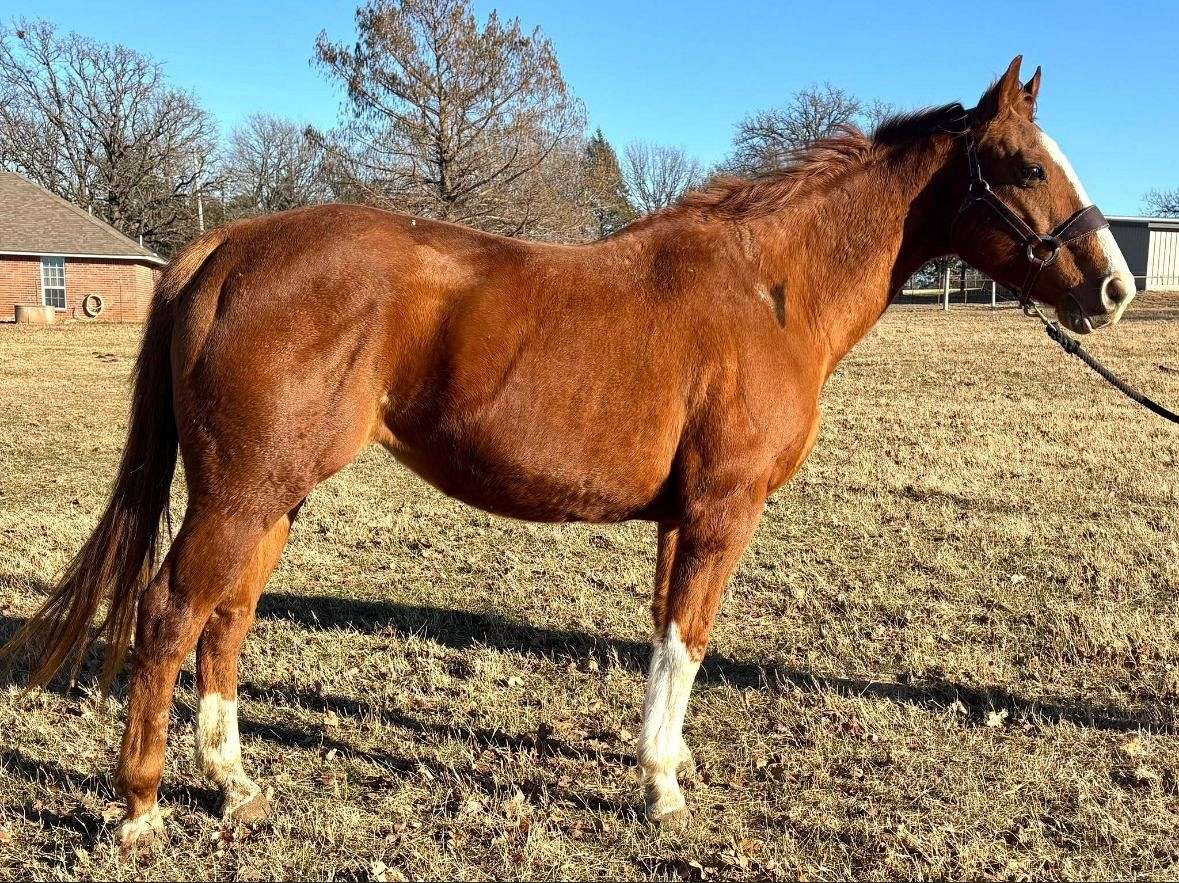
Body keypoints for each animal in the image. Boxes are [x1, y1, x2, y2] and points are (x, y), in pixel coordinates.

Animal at [1, 56, 1136, 845]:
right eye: (1024, 165)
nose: (1115, 286)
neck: (769, 289)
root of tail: (225, 247)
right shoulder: (721, 512)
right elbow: (688, 639)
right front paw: (664, 788)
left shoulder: (685, 519)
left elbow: (672, 637)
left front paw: (666, 764)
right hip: (240, 496)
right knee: (168, 614)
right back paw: (141, 808)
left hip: (272, 501)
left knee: (226, 620)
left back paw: (234, 785)